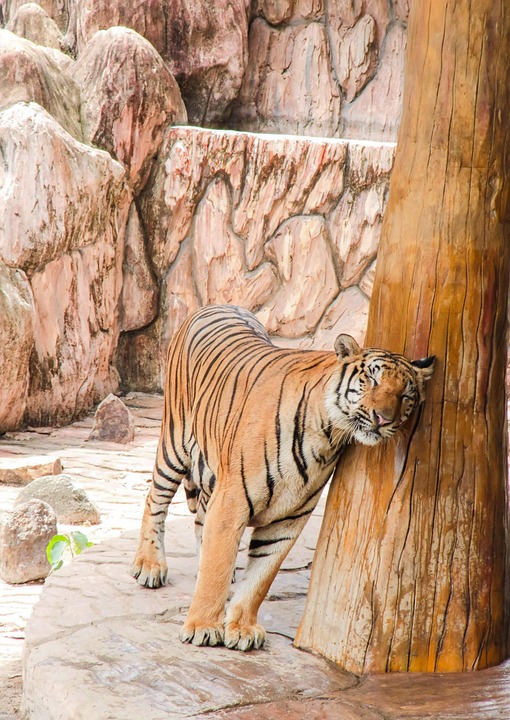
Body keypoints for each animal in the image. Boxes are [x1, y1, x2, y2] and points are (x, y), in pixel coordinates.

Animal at [131, 304, 435, 651]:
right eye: (371, 378)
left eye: (406, 395)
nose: (384, 419)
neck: (328, 436)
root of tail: (217, 305)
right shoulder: (232, 500)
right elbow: (217, 567)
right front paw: (203, 627)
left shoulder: (287, 519)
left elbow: (260, 577)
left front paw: (242, 628)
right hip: (175, 441)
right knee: (154, 499)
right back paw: (150, 566)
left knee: (199, 518)